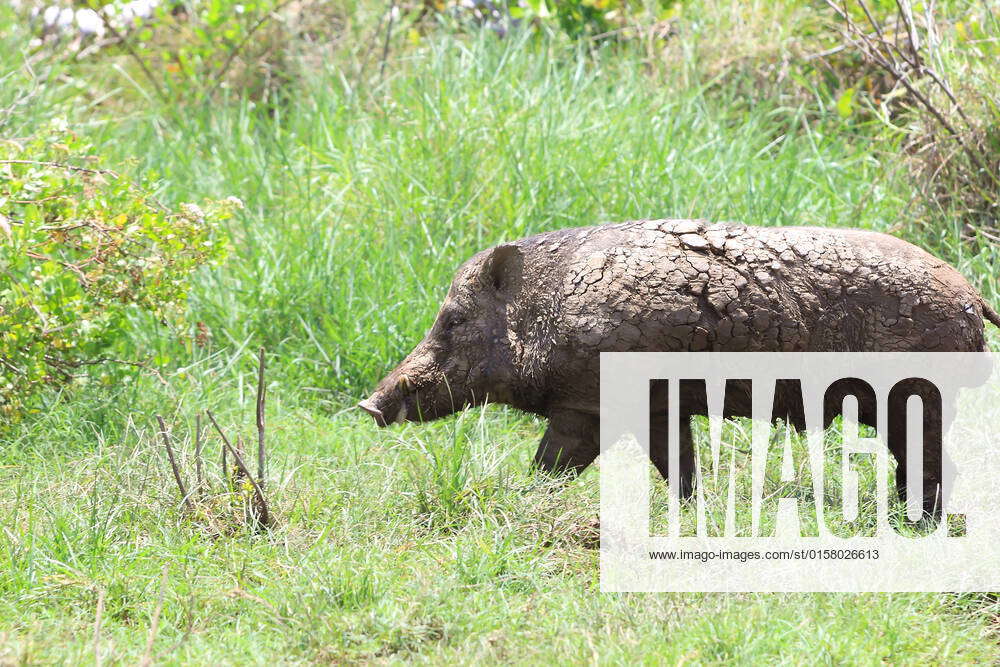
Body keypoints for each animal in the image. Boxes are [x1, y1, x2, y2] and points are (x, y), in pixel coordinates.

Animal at [359, 219, 999, 513]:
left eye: (453, 320)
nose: (369, 404)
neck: (546, 311)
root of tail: (974, 296)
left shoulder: (587, 405)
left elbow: (554, 462)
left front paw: (524, 499)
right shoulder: (655, 407)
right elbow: (675, 466)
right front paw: (691, 509)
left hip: (919, 396)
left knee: (934, 464)